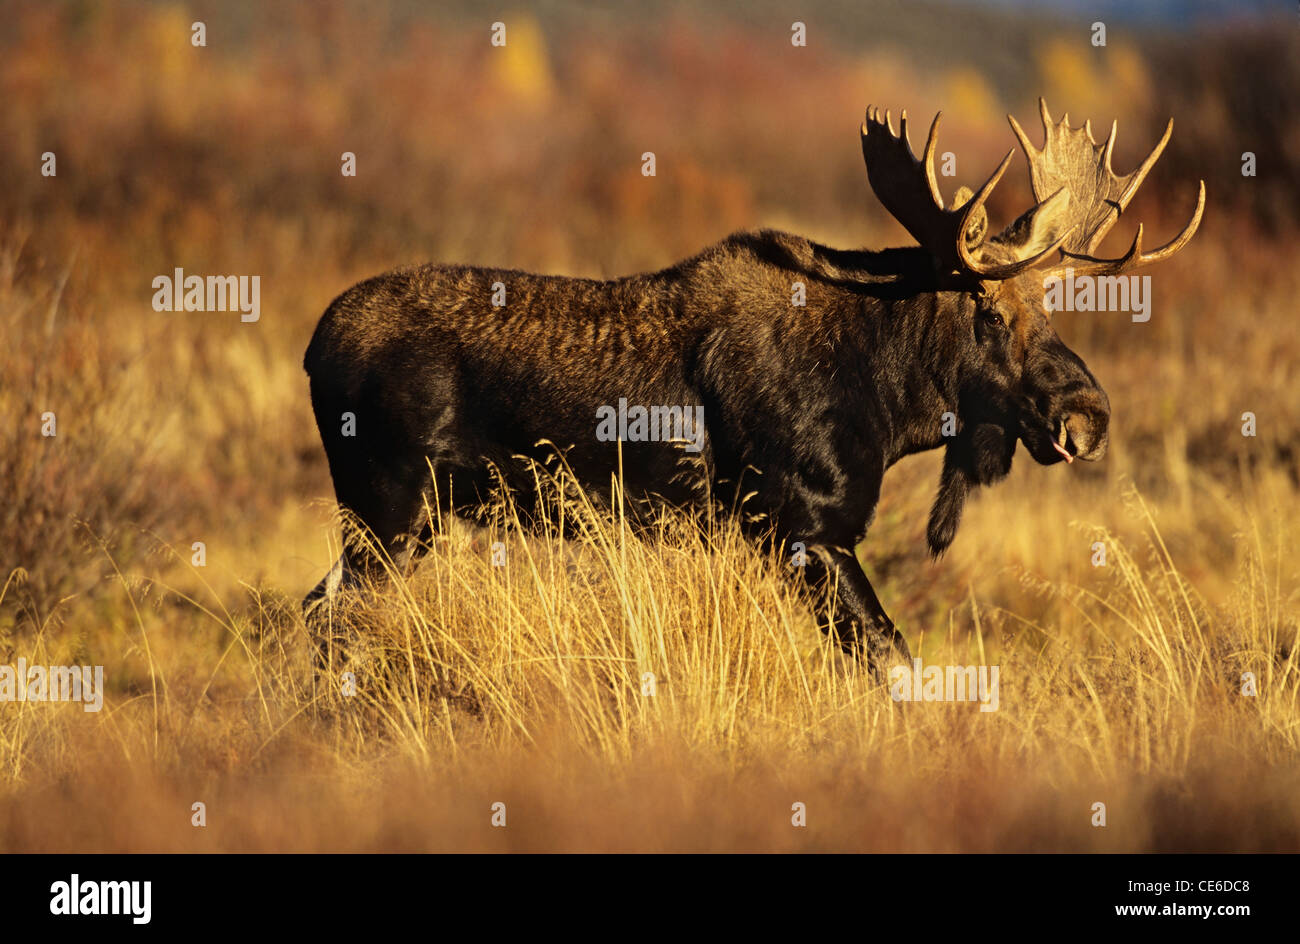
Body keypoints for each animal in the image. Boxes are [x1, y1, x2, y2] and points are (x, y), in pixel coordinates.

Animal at [302, 99, 1203, 676]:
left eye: (1050, 307)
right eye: (985, 308)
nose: (1087, 416)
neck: (889, 403)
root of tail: (314, 348)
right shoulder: (803, 524)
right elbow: (892, 659)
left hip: (402, 520)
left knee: (317, 605)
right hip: (389, 506)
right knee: (332, 615)